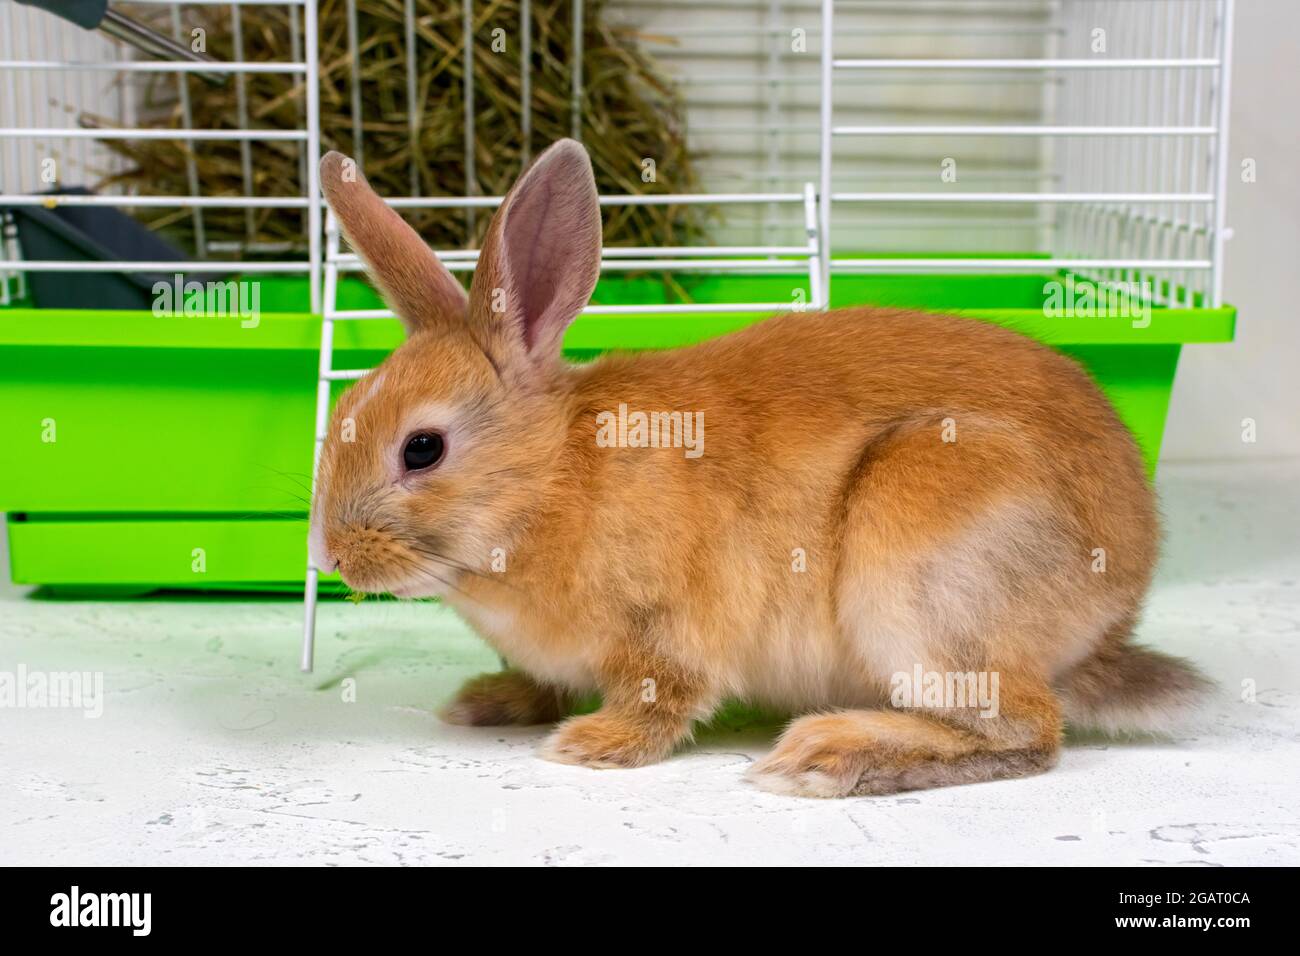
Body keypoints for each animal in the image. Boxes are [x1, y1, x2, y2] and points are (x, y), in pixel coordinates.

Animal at [309, 139, 1209, 797]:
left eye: (422, 448)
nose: (326, 557)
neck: (553, 478)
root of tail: (1109, 619)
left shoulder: (667, 634)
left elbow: (660, 698)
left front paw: (591, 745)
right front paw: (489, 703)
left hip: (922, 576)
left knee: (1027, 730)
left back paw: (826, 755)